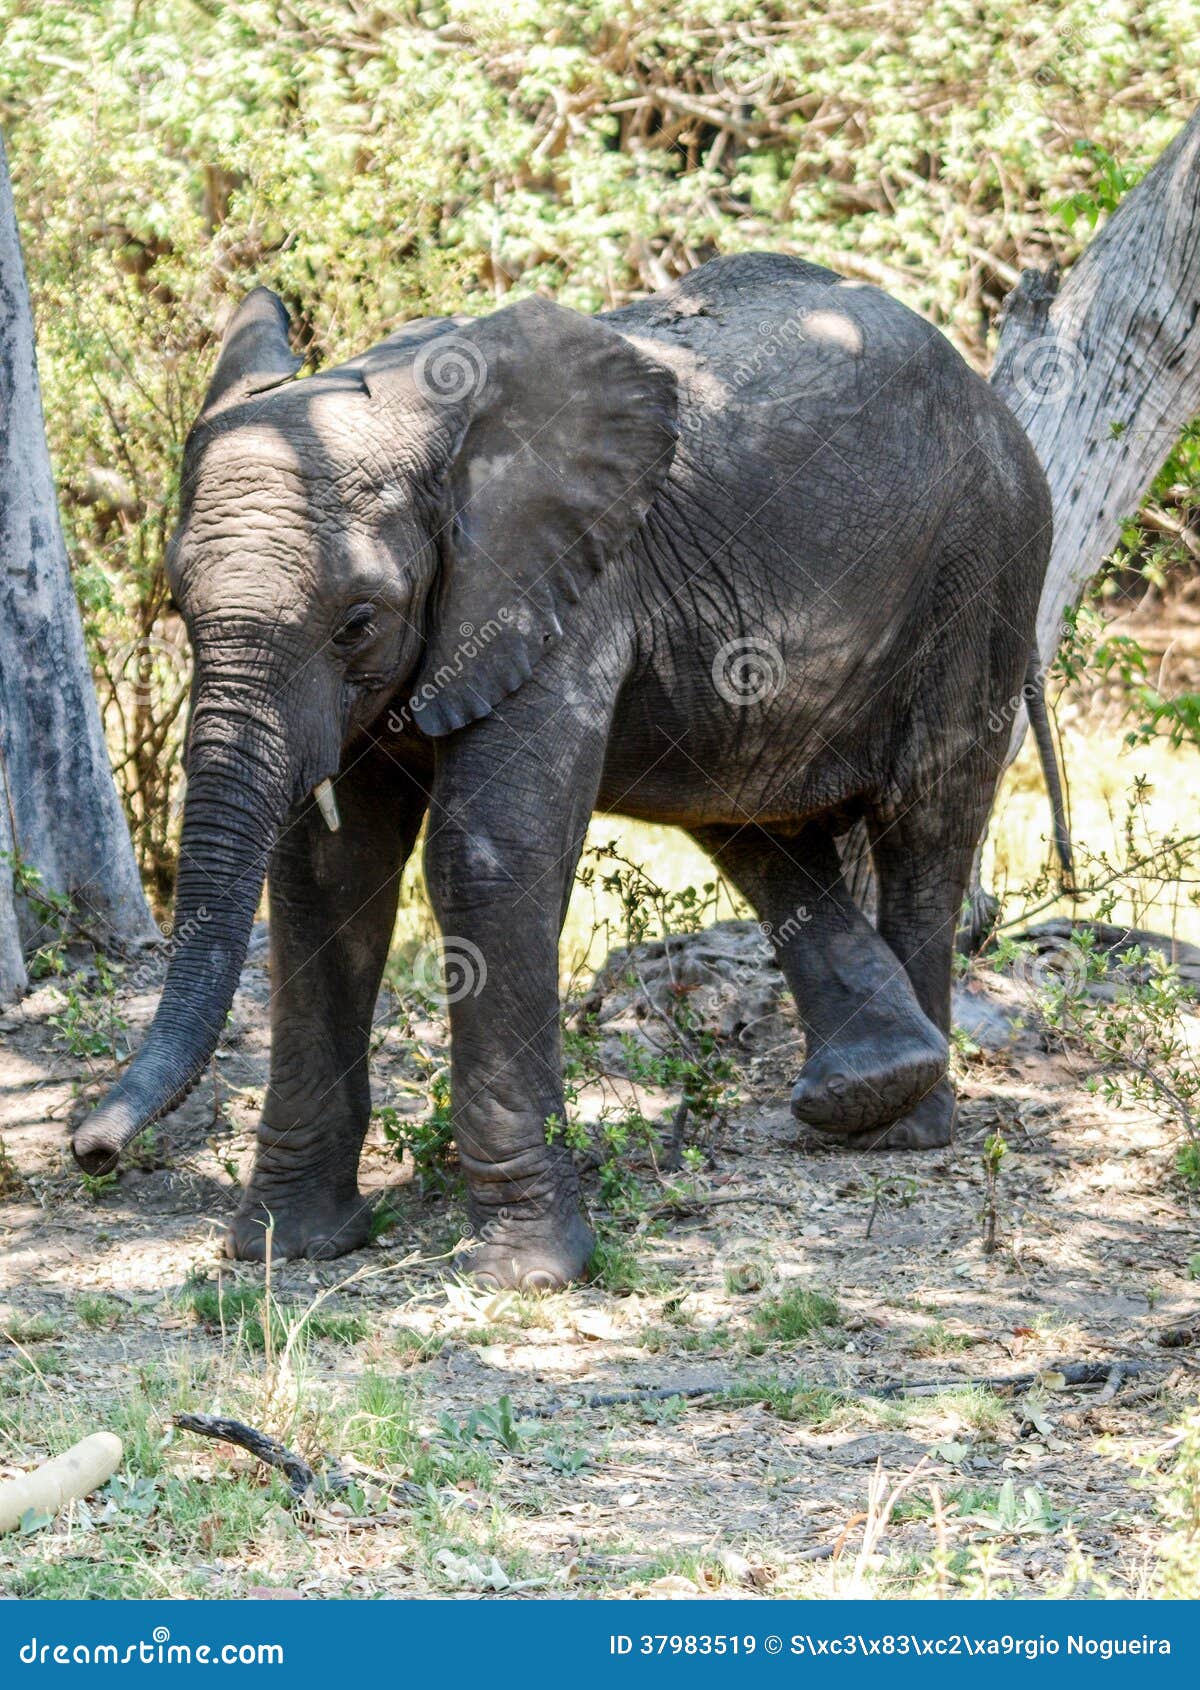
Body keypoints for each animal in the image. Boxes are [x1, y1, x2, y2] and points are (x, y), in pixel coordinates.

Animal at [73, 252, 1068, 1289]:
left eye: (357, 622)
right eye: (180, 605)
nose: (91, 1152)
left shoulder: (567, 588)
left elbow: (486, 857)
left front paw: (526, 1276)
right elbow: (326, 876)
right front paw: (287, 1247)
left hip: (986, 566)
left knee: (924, 825)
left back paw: (906, 1129)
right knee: (756, 828)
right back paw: (871, 1089)